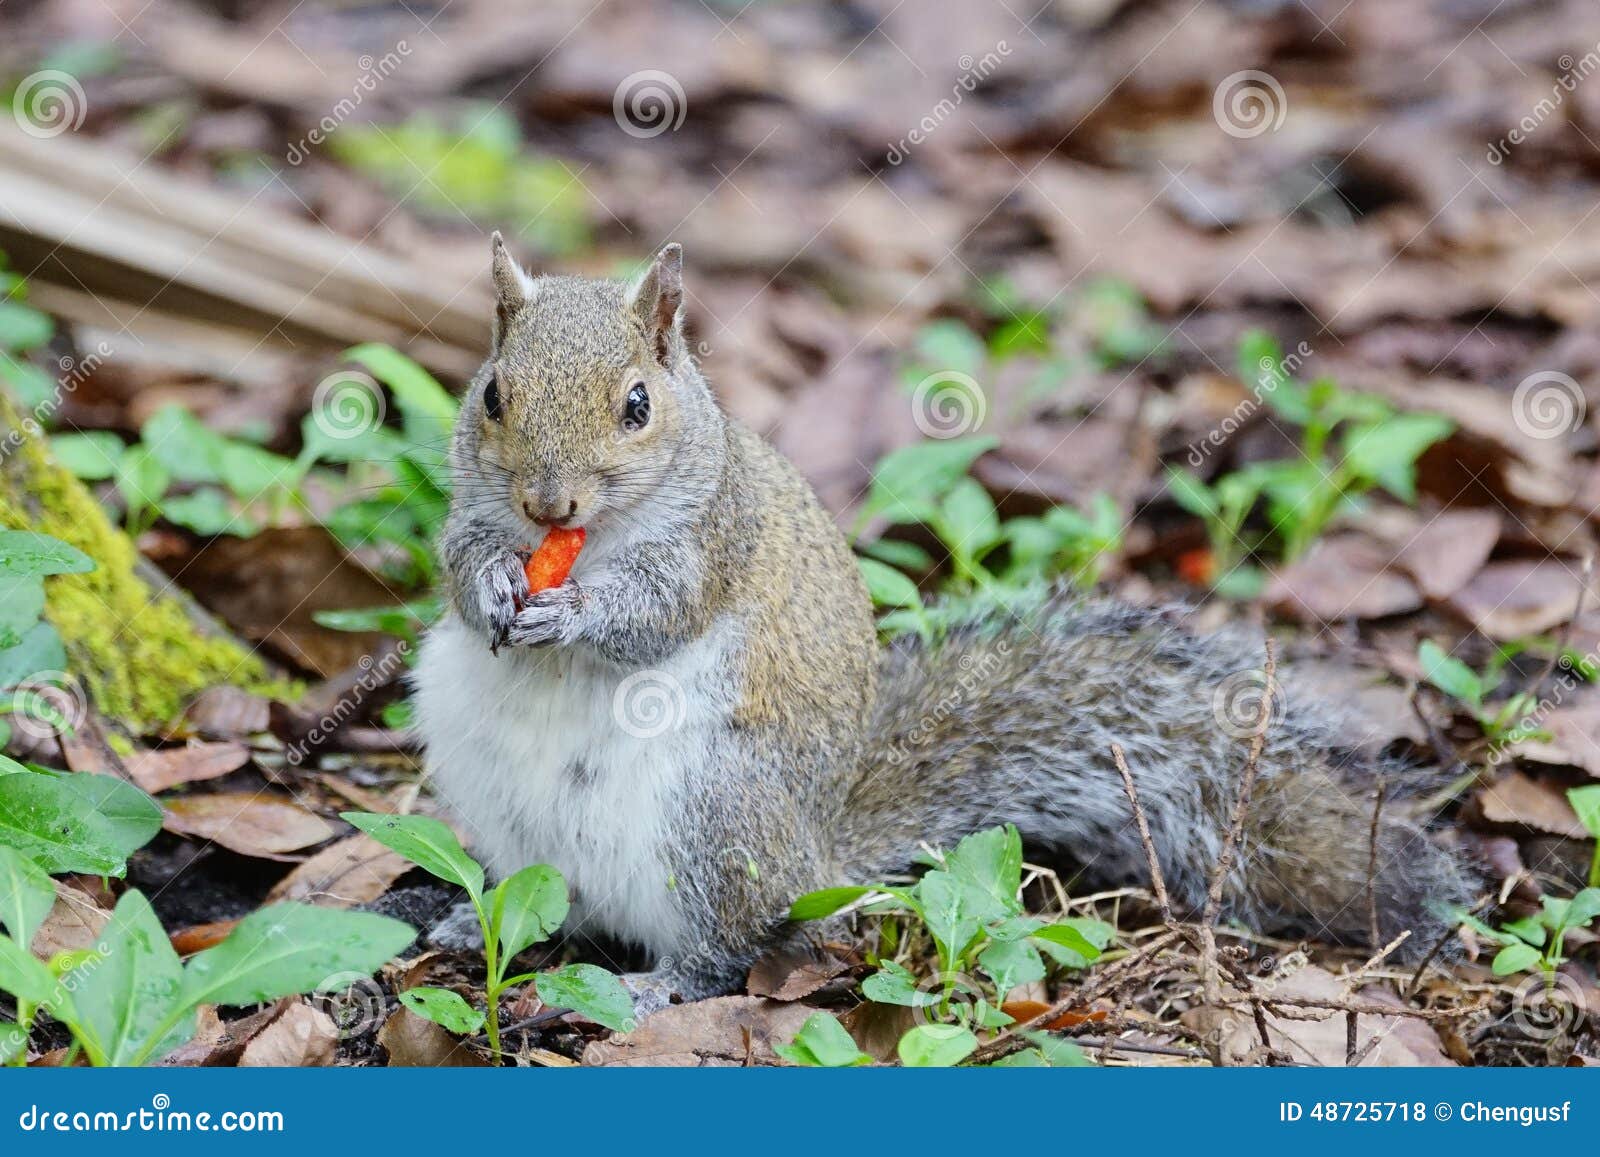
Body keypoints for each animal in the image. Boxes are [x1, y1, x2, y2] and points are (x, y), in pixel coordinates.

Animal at [412, 236, 1473, 1015]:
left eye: (637, 404)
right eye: (493, 392)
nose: (547, 504)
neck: (586, 539)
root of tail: (818, 854)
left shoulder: (714, 540)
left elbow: (657, 611)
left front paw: (575, 609)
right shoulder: (469, 514)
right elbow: (458, 560)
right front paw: (499, 583)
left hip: (713, 817)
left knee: (729, 944)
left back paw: (658, 984)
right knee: (557, 901)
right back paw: (479, 922)